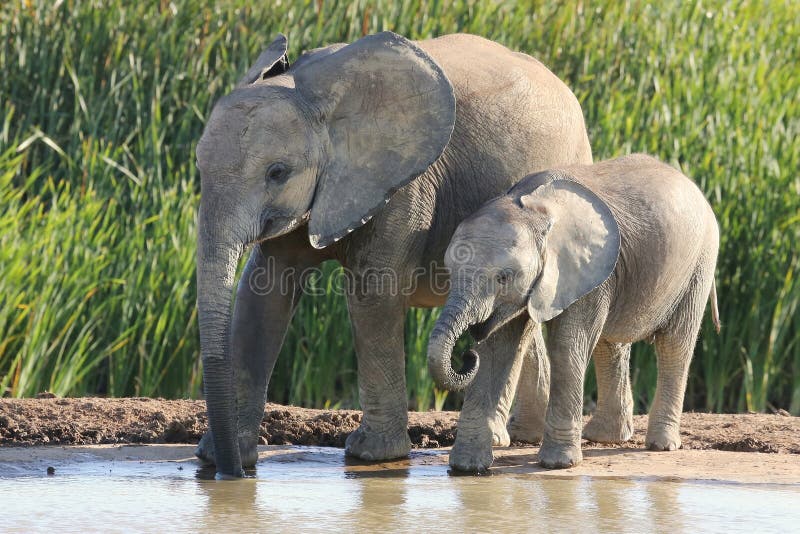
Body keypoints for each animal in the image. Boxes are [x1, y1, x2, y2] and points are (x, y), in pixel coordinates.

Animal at [194, 30, 624, 477]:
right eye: (199, 166)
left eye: (277, 173)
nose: (230, 475)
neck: (311, 93)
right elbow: (264, 292)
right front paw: (224, 457)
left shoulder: (402, 184)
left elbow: (371, 295)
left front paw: (372, 454)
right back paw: (515, 436)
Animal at [428, 154, 720, 471]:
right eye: (448, 271)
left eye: (503, 277)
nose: (467, 355)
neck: (533, 207)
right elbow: (498, 349)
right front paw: (467, 468)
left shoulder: (586, 270)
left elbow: (566, 346)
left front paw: (559, 464)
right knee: (611, 343)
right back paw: (604, 437)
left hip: (700, 262)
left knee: (674, 344)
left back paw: (660, 445)